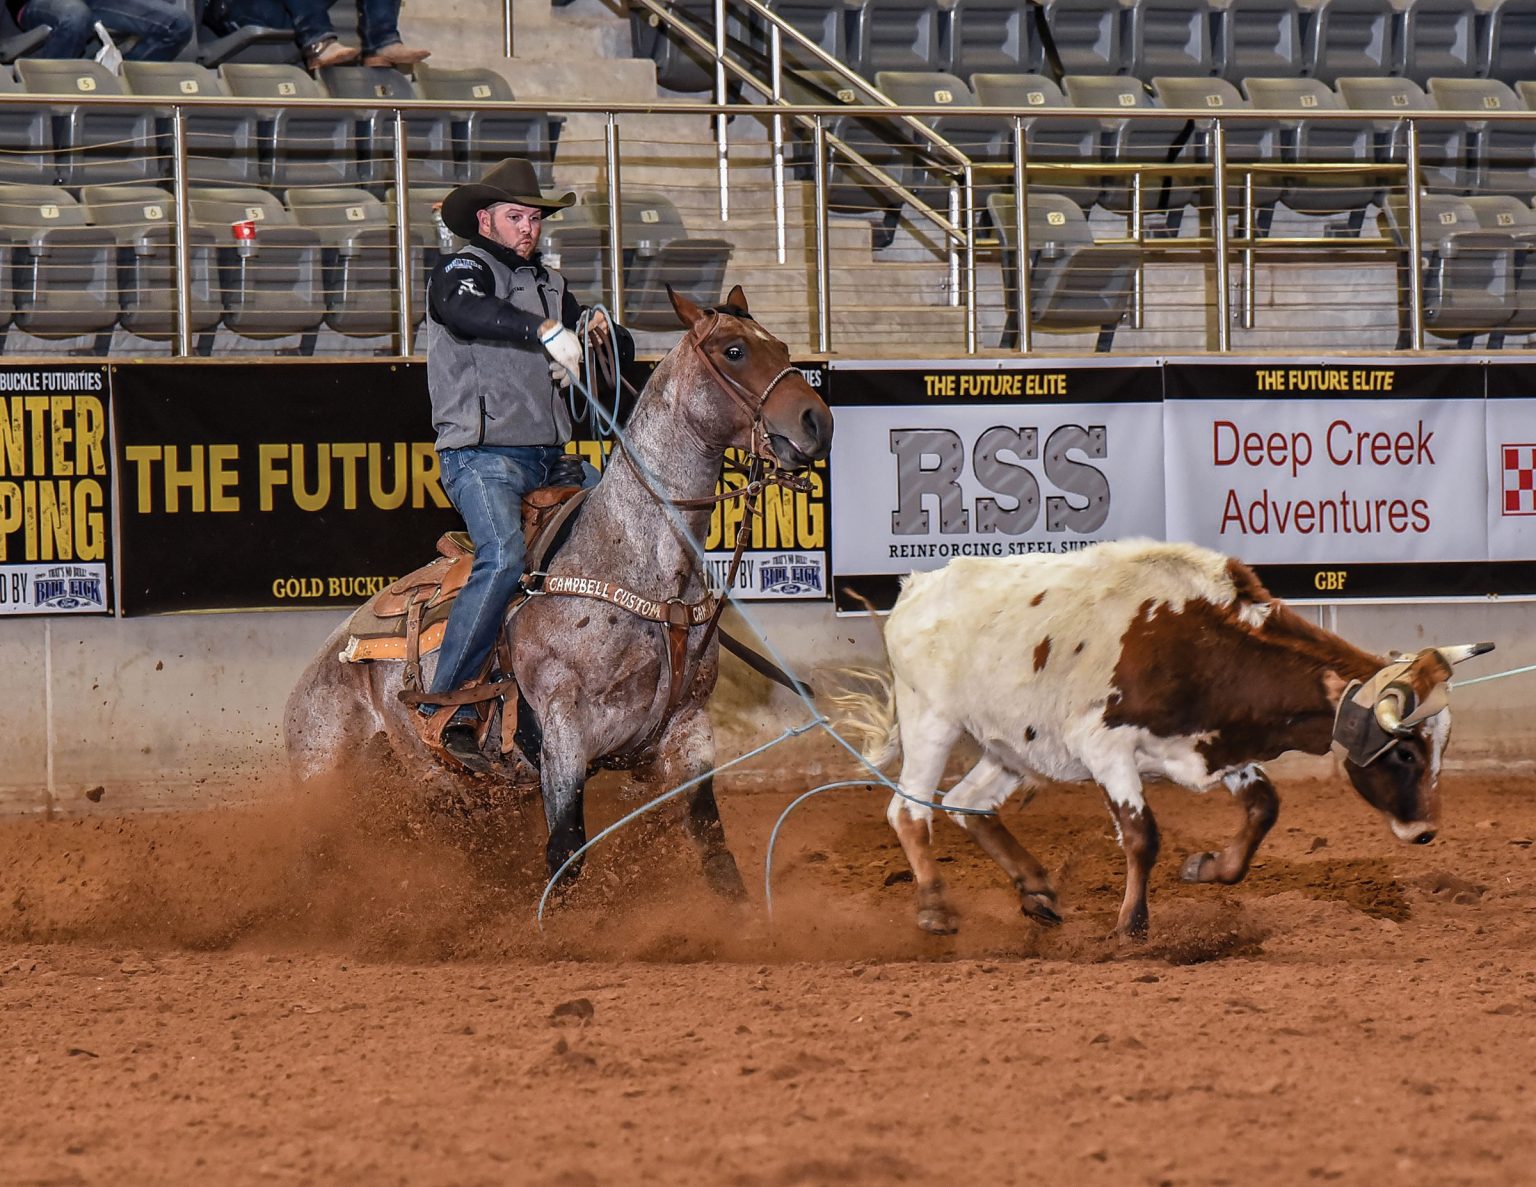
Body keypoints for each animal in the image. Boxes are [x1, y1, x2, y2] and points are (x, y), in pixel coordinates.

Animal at [284, 285, 833, 901]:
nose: (818, 421)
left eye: (781, 345)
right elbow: (566, 852)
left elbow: (713, 845)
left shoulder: (690, 725)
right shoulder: (564, 731)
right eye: (734, 351)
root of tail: (324, 664)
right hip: (326, 781)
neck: (642, 565)